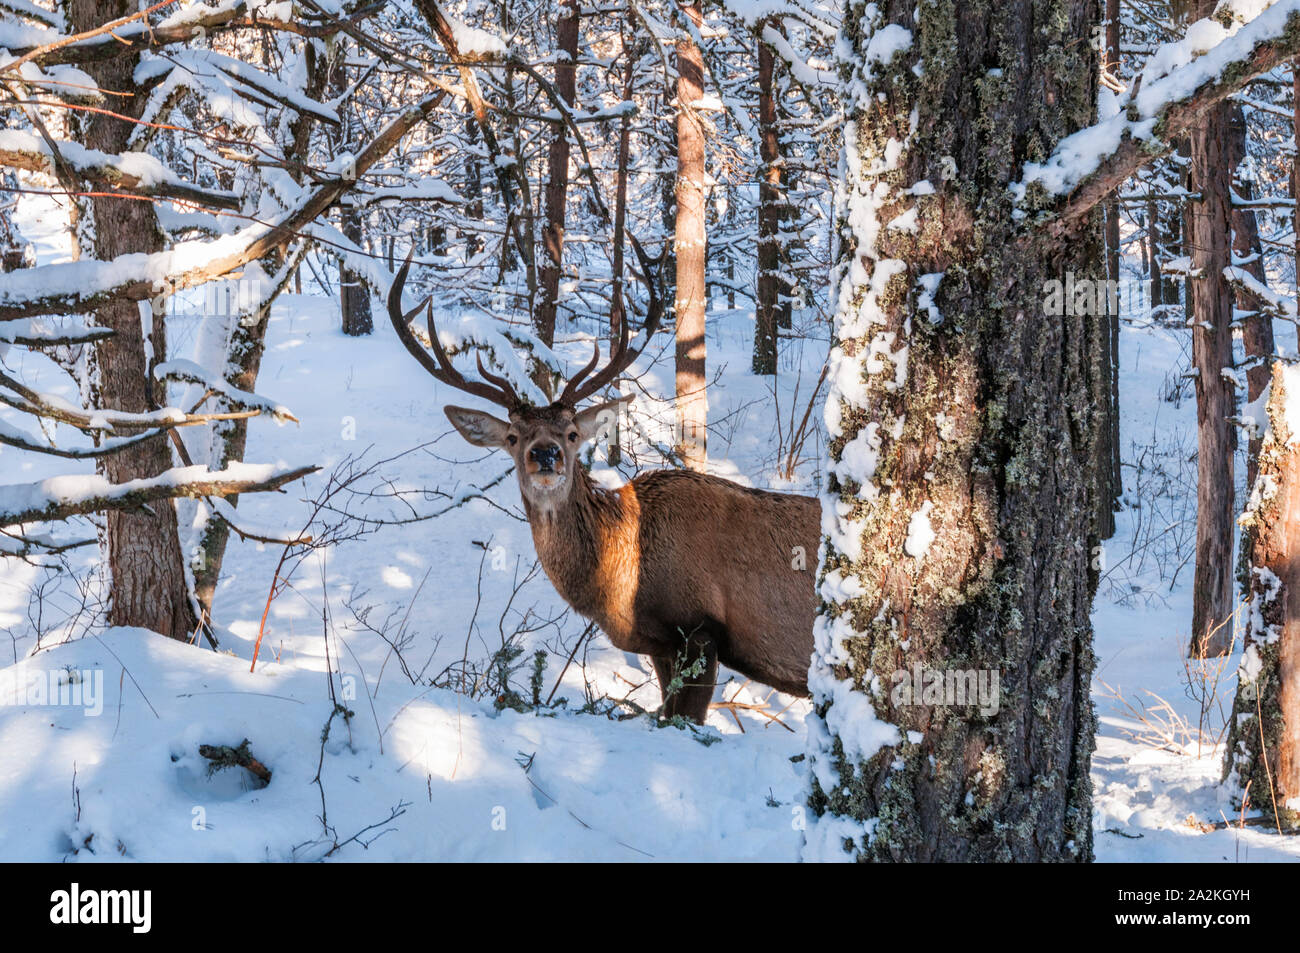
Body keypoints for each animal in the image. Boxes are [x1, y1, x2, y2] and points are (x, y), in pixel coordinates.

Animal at [387, 255, 819, 724]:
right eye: (513, 437)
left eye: (573, 433)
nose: (546, 453)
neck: (620, 581)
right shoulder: (662, 646)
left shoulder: (700, 630)